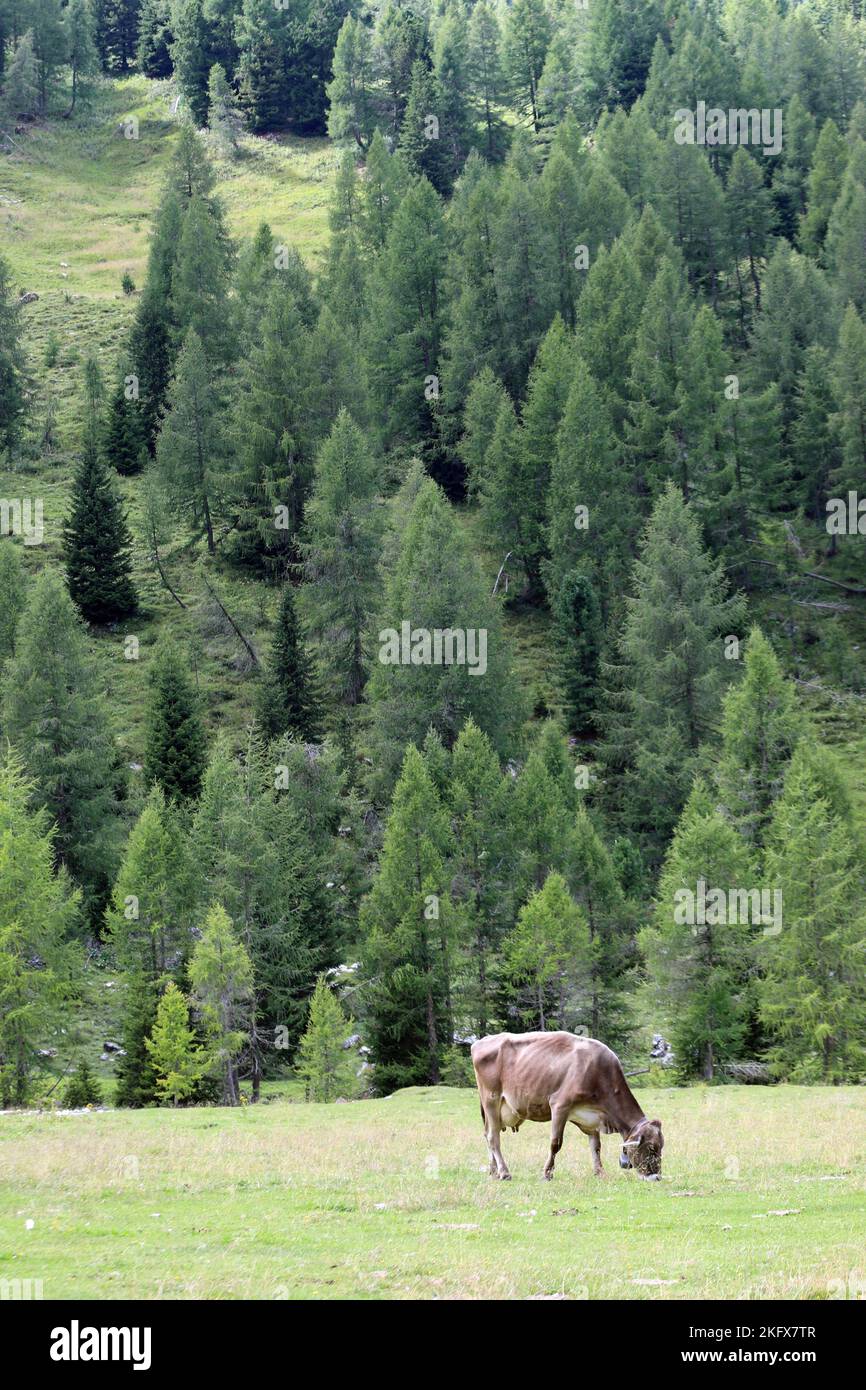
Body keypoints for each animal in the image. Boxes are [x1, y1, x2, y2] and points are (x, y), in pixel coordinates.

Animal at [471, 1031, 664, 1181]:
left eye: (662, 1146)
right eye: (652, 1147)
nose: (656, 1177)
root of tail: (481, 1041)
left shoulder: (591, 1118)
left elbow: (596, 1145)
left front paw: (600, 1173)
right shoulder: (559, 1105)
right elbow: (556, 1143)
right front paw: (547, 1174)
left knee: (487, 1134)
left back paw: (493, 1171)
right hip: (491, 1099)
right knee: (493, 1137)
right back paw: (504, 1172)